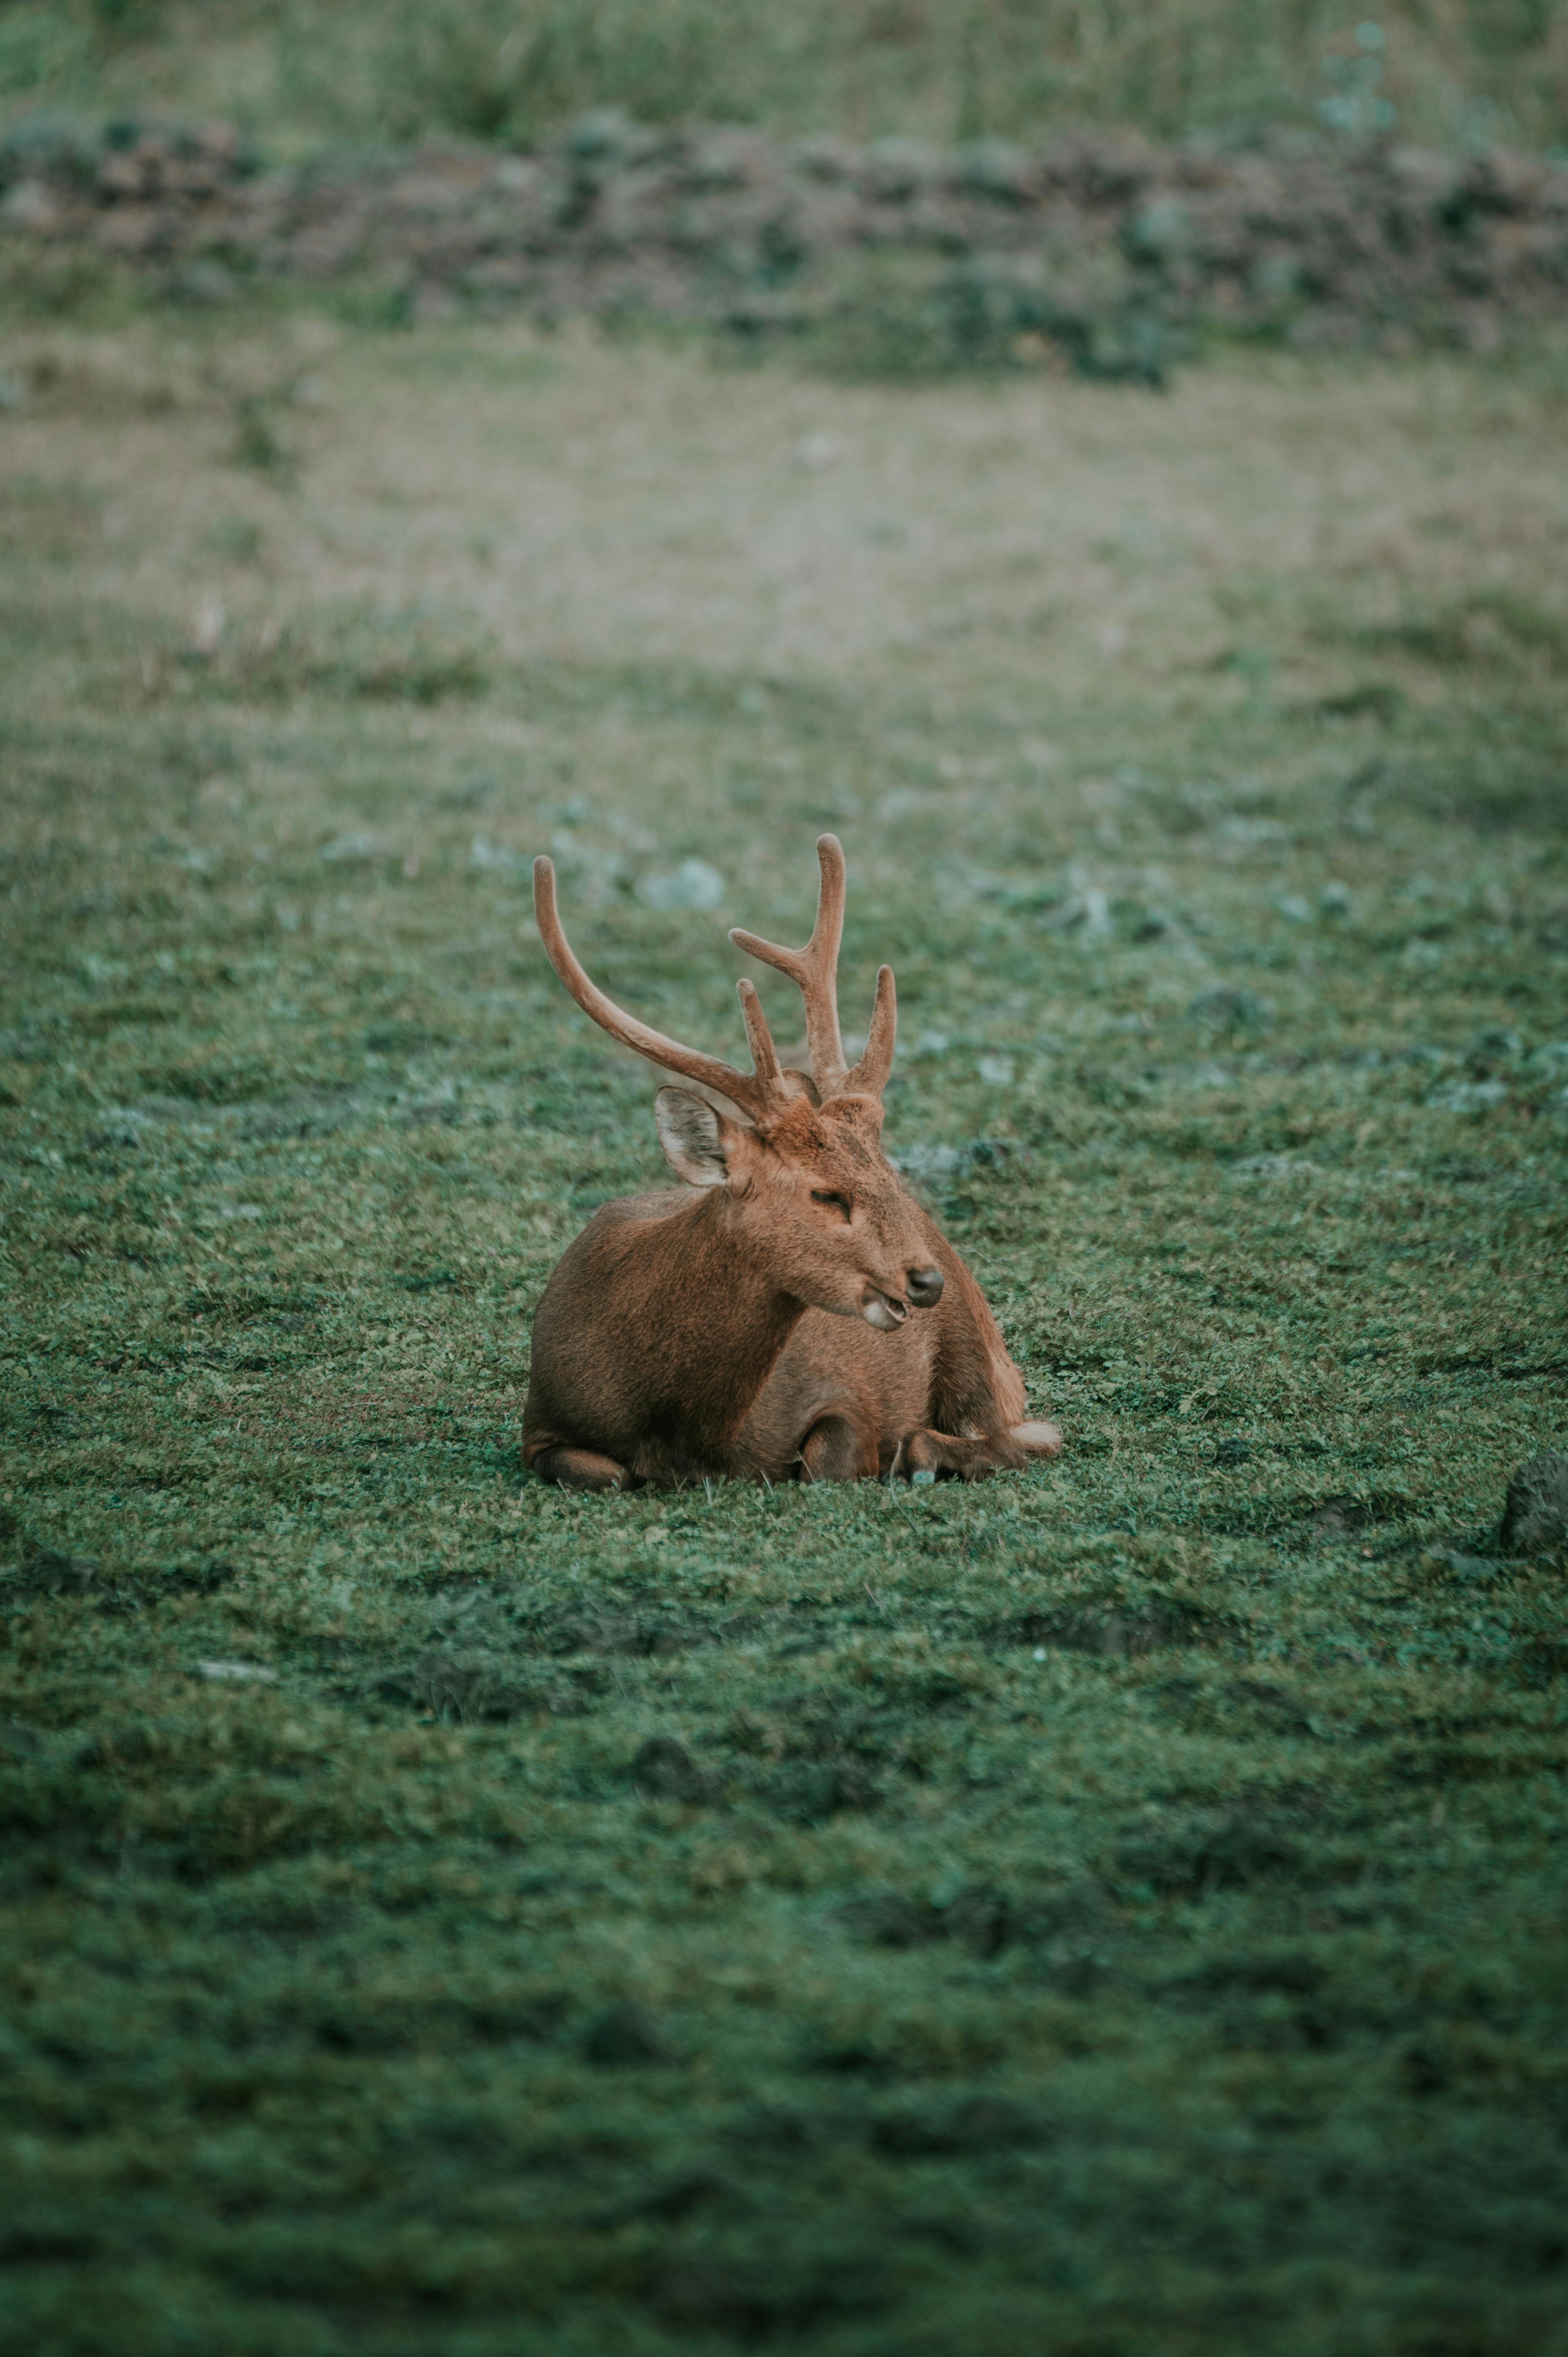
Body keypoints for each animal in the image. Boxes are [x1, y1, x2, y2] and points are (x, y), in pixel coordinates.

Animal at [523, 834, 1061, 1491]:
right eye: (825, 1194)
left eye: (891, 1178)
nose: (925, 1281)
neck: (681, 1431)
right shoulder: (539, 1420)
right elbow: (605, 1472)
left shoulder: (837, 1394)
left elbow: (830, 1457)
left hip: (976, 1350)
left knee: (1026, 1436)